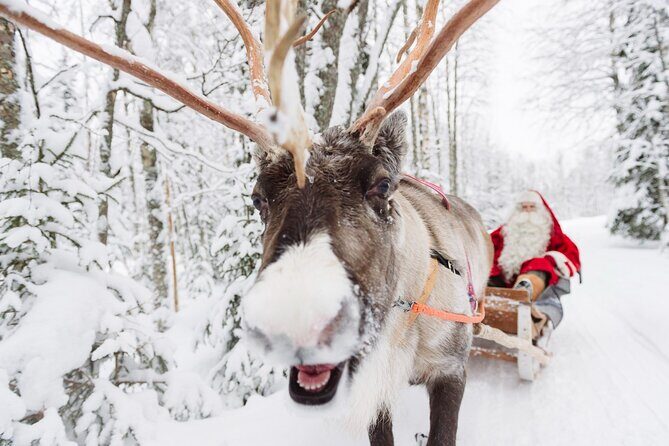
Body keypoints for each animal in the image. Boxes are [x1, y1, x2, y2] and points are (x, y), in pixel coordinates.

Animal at [0, 0, 499, 444]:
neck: (403, 323)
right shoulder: (372, 393)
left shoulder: (451, 369)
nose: (295, 323)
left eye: (380, 185)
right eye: (257, 197)